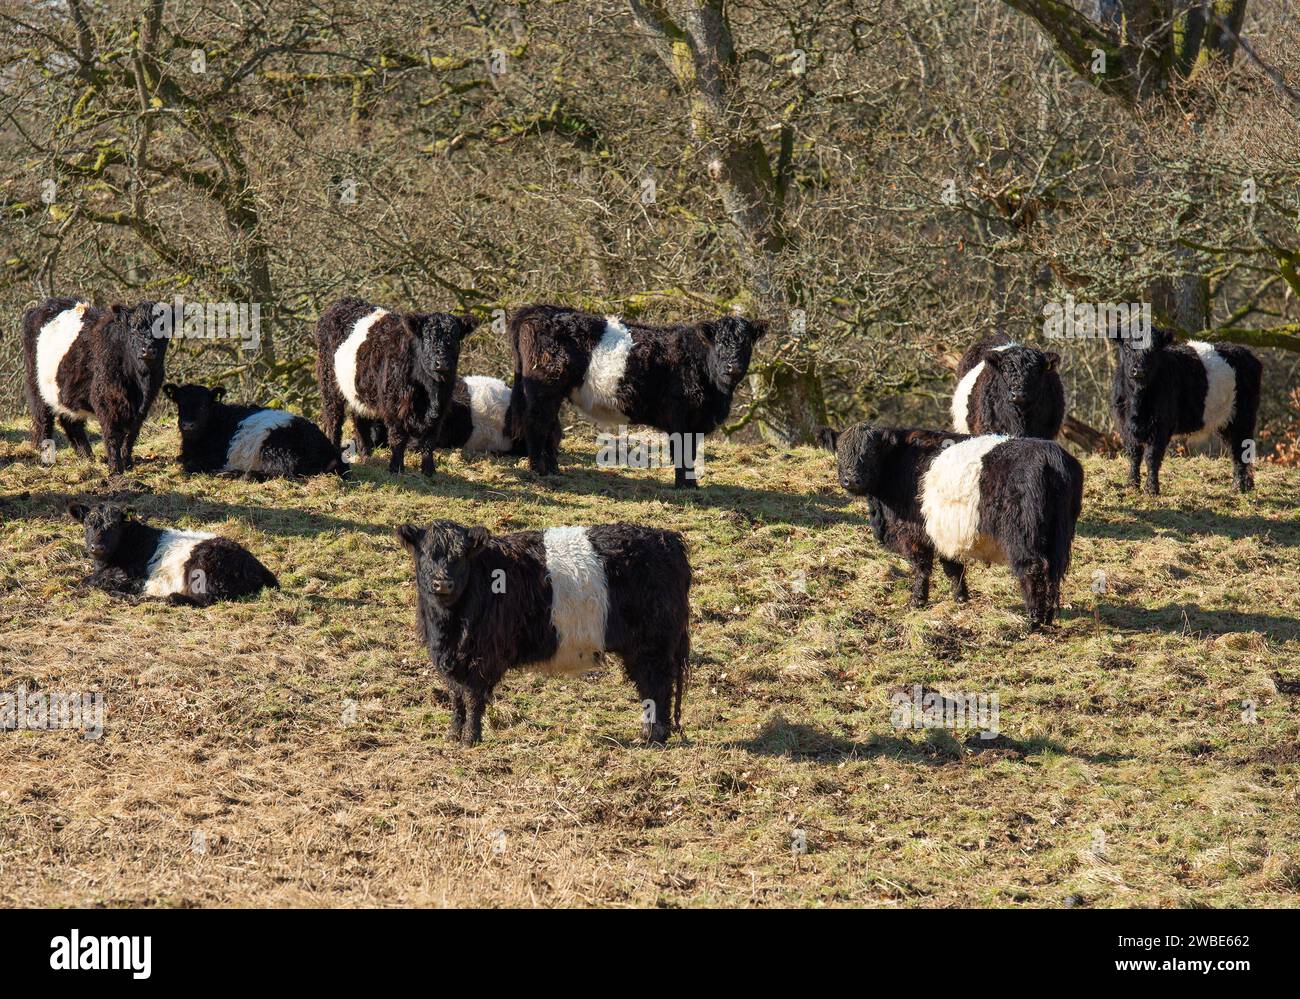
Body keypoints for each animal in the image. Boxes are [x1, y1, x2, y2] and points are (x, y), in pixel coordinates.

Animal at [396, 519, 691, 745]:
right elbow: (457, 696)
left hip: (653, 646)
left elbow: (472, 697)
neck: (448, 626)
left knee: (657, 686)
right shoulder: (451, 659)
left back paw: (653, 735)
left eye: (460, 557)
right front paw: (453, 735)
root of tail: (668, 539)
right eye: (425, 554)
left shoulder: (483, 658)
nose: (442, 583)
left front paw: (471, 738)